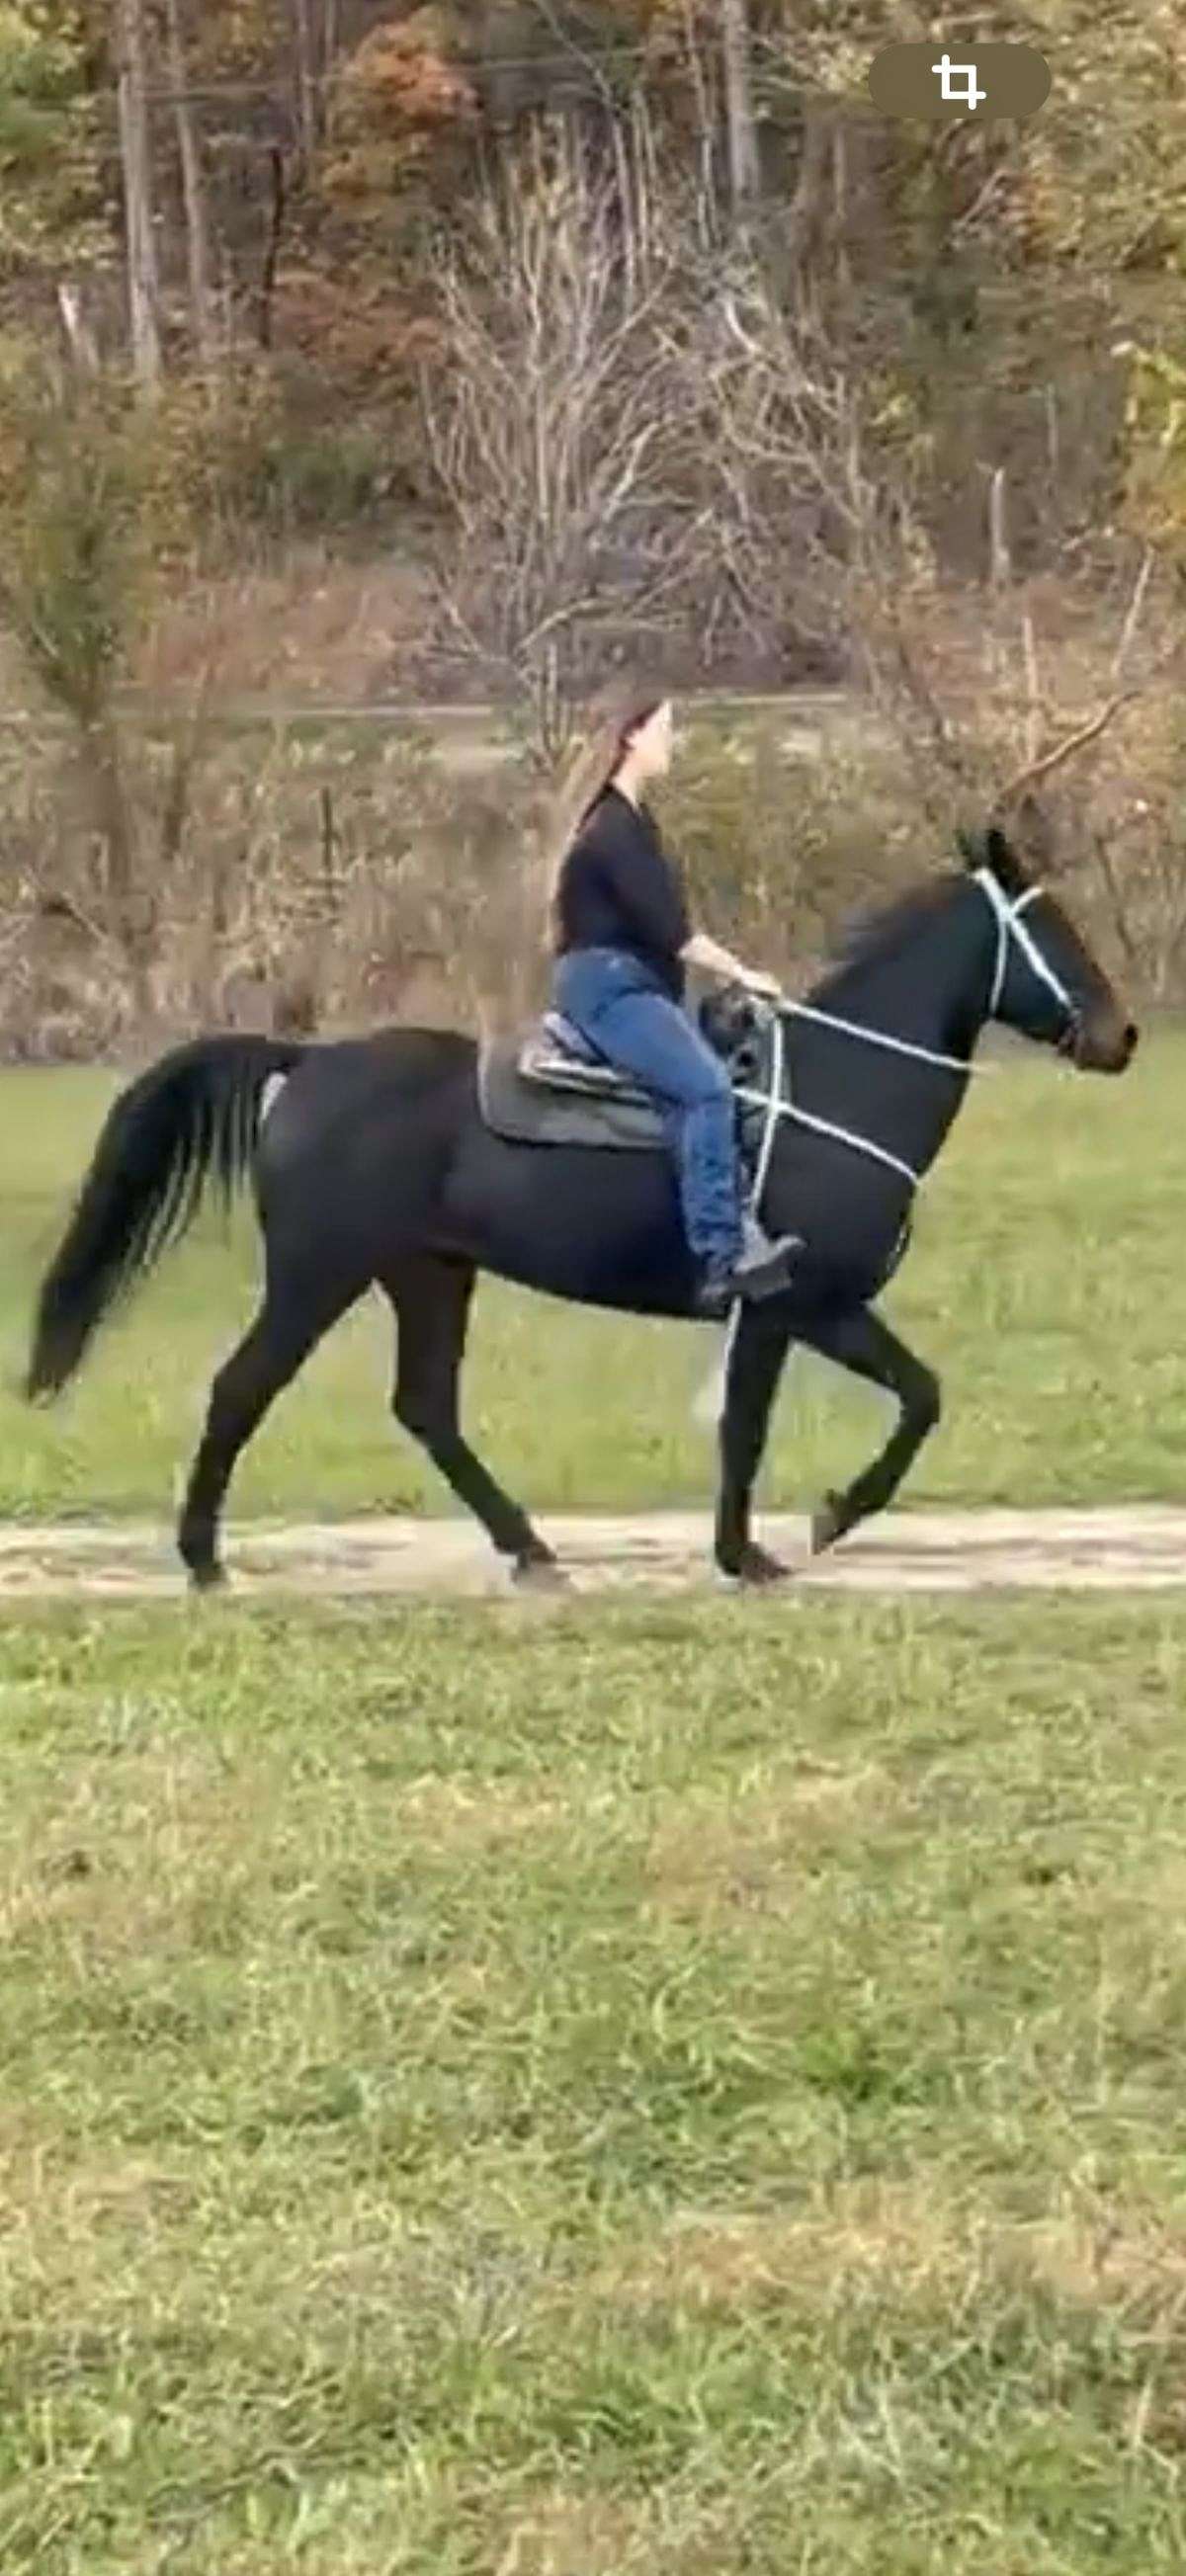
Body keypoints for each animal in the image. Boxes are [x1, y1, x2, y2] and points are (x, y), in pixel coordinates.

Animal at [24, 825, 1136, 1592]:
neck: (839, 1086)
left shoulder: (775, 1316)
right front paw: (808, 1530)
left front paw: (748, 1549)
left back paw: (532, 1550)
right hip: (317, 1276)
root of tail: (306, 1063)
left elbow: (767, 1424)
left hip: (427, 1276)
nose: (1120, 1035)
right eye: (1052, 927)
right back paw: (203, 1559)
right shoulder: (804, 1303)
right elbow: (902, 1401)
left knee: (425, 1408)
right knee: (240, 1389)